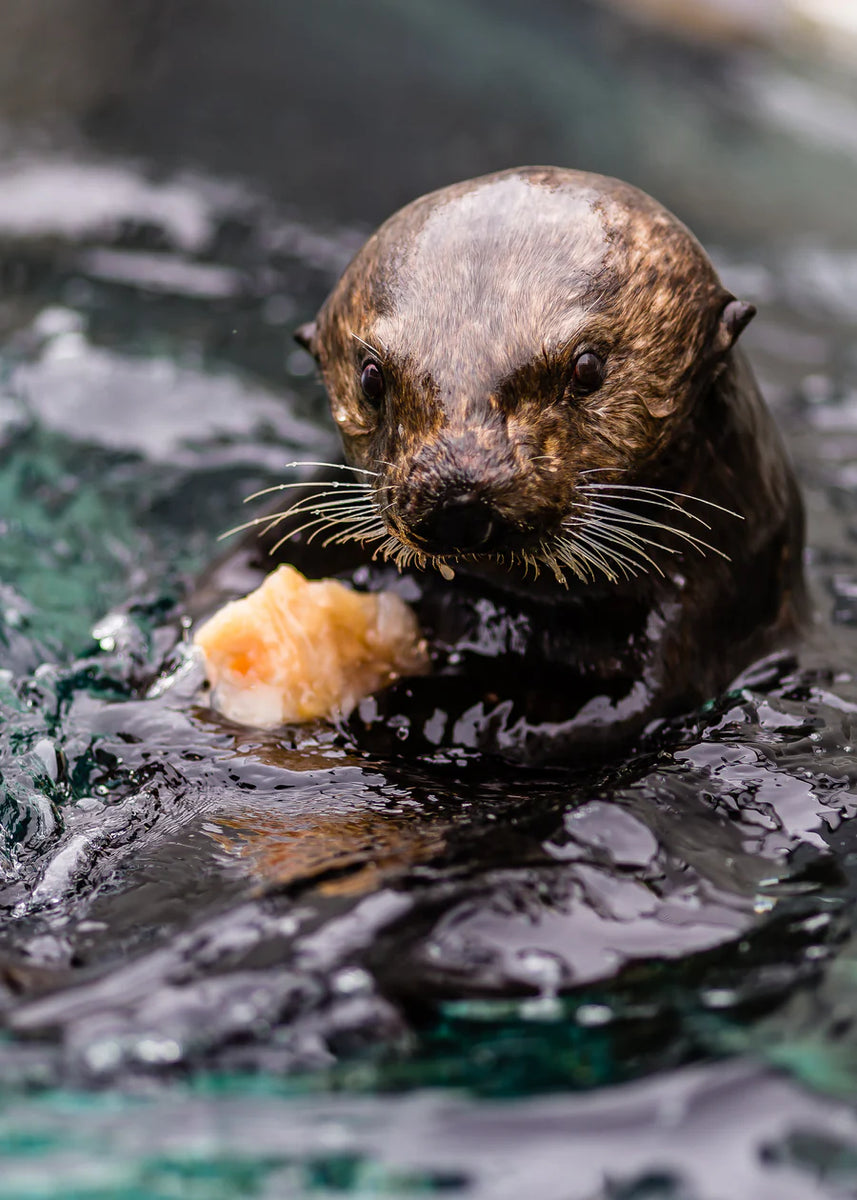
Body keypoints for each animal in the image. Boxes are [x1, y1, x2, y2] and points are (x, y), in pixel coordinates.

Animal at [209, 167, 807, 761]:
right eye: (371, 377)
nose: (458, 493)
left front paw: (408, 709)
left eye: (587, 367)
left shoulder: (698, 616)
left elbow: (586, 714)